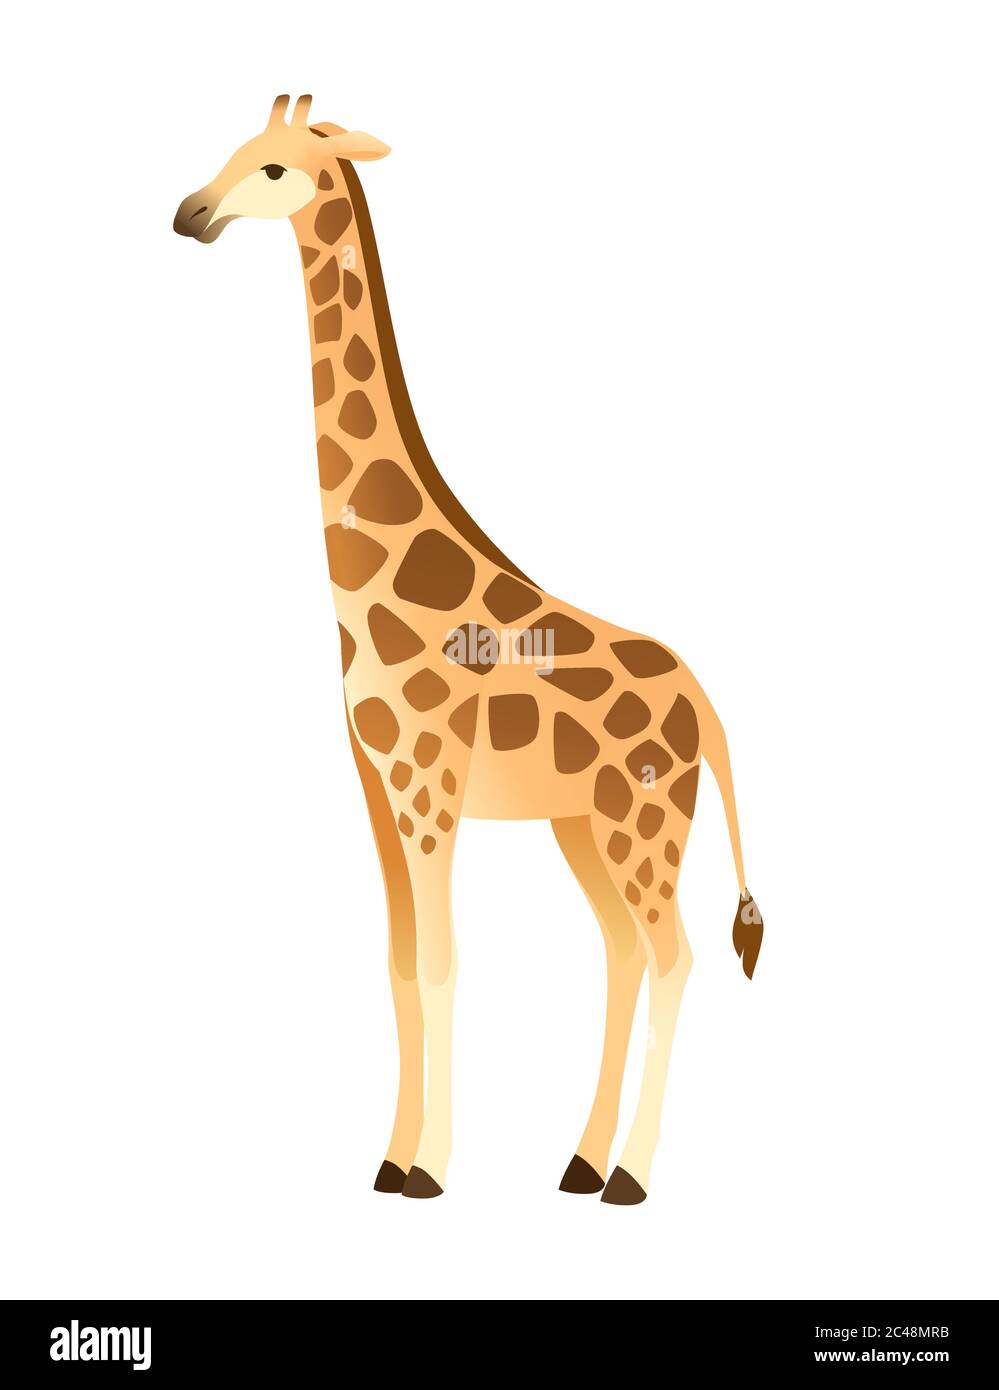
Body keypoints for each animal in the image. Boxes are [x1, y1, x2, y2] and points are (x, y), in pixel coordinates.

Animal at [174, 95, 764, 1205]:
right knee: (622, 951)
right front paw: (388, 1157)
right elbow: (399, 964)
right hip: (584, 823)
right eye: (231, 150)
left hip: (646, 821)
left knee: (672, 954)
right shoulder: (375, 783)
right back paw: (578, 1163)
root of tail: (706, 707)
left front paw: (429, 1171)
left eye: (271, 167)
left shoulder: (427, 783)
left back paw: (630, 1177)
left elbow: (444, 962)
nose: (190, 213)